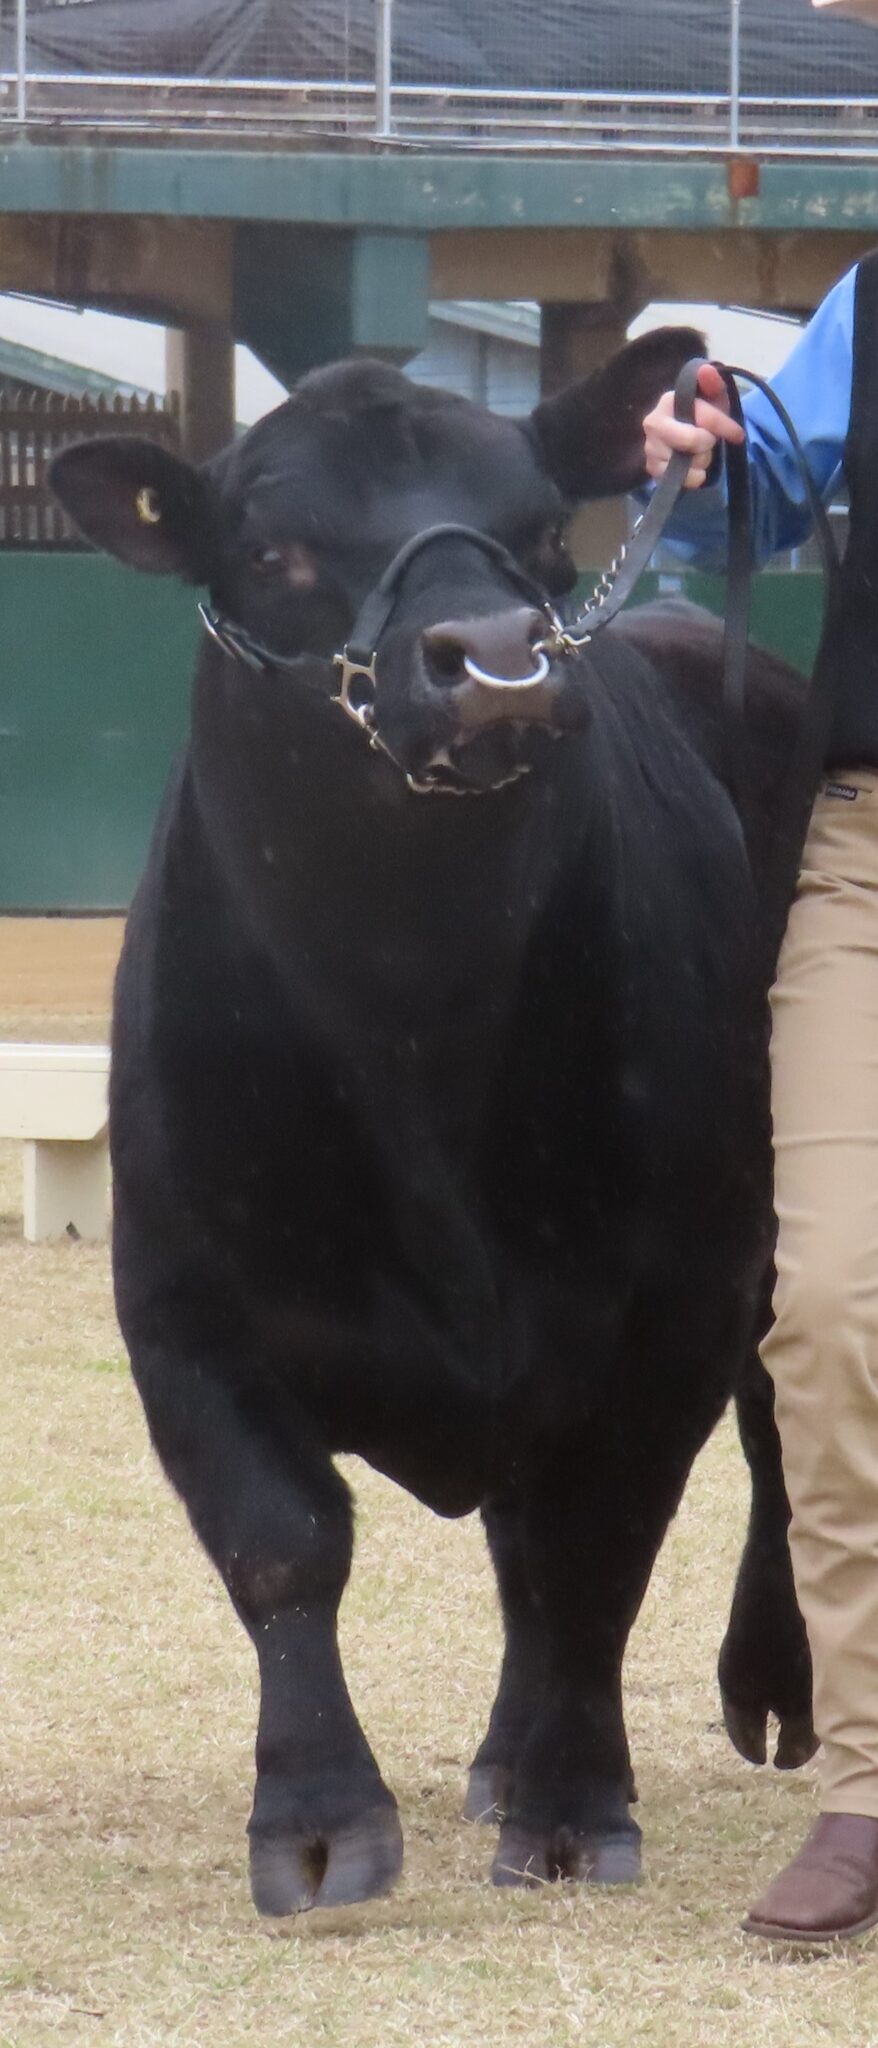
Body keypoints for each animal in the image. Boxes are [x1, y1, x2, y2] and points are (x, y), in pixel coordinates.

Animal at [50, 330, 815, 1918]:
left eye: (539, 532)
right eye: (273, 550)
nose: (497, 660)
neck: (411, 1016)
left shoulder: (671, 1304)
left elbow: (602, 1551)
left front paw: (576, 1814)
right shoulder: (180, 1304)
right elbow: (284, 1544)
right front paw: (318, 1825)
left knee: (765, 1435)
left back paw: (760, 1689)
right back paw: (497, 1757)